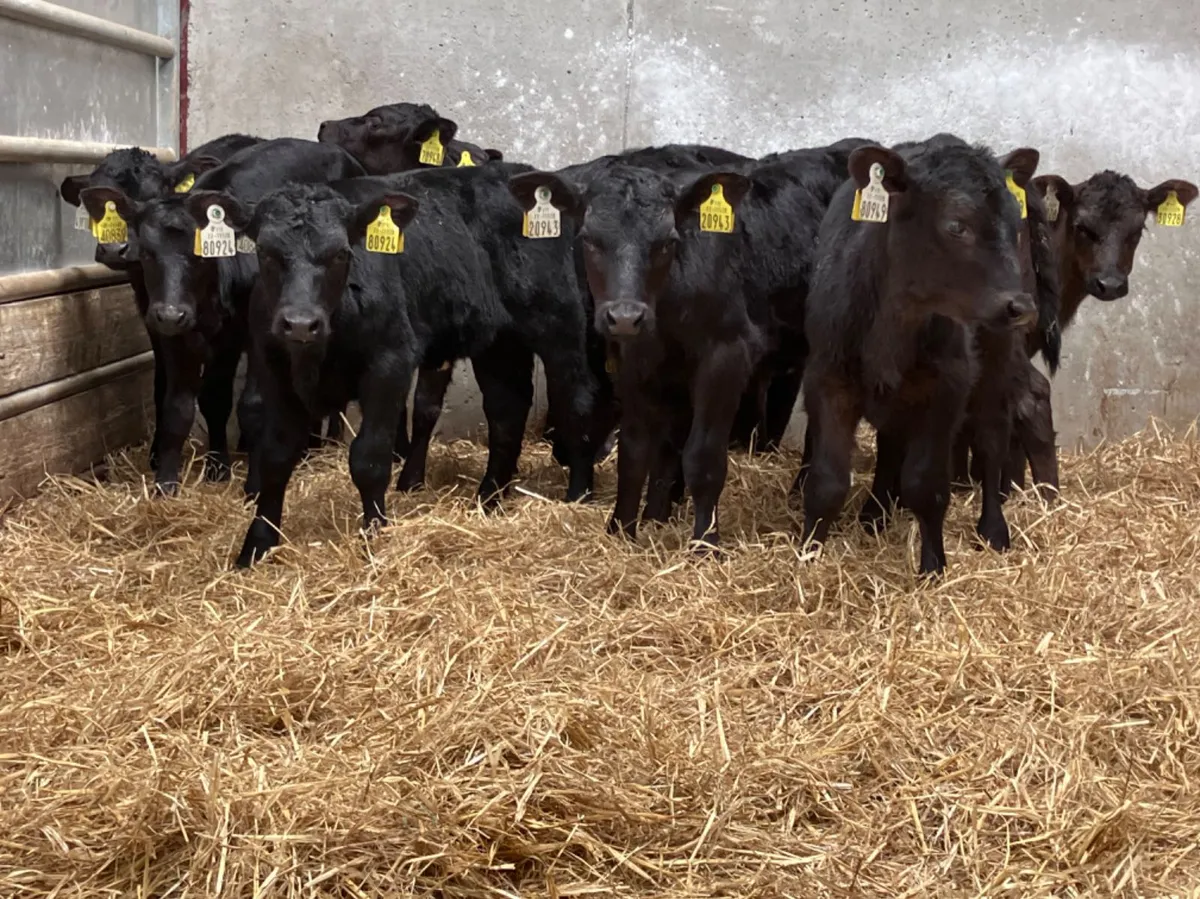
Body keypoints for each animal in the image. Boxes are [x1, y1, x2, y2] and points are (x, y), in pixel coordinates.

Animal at [77, 138, 365, 495]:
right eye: (147, 252)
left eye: (200, 252)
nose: (117, 249)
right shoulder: (176, 334)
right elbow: (183, 406)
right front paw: (172, 482)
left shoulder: (251, 335)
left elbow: (249, 405)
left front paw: (252, 482)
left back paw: (325, 442)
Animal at [798, 135, 1037, 575]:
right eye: (956, 224)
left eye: (1015, 226)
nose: (1020, 306)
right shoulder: (827, 379)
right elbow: (826, 482)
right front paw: (808, 556)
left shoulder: (948, 387)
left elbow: (926, 485)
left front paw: (932, 566)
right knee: (891, 443)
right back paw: (875, 514)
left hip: (996, 368)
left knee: (991, 445)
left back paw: (993, 529)